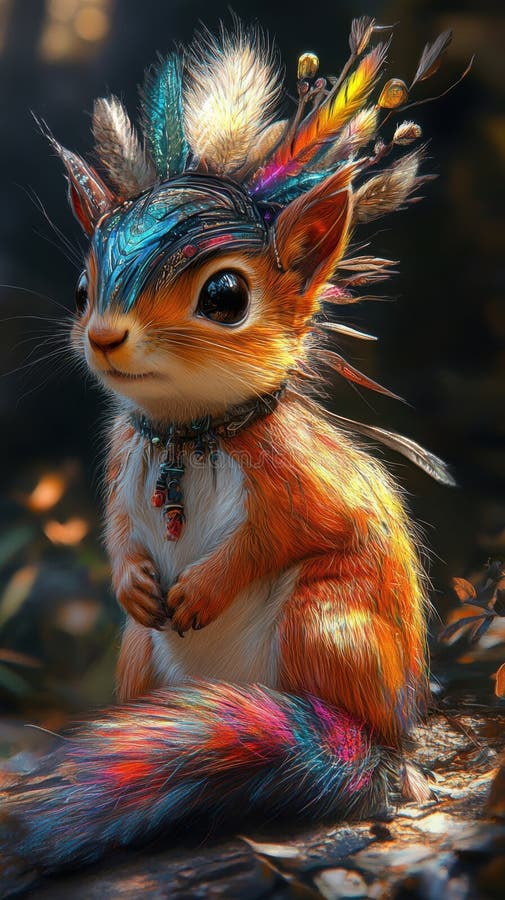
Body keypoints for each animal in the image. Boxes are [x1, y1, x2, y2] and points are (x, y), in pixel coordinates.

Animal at [1, 18, 456, 889]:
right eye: (80, 289)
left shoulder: (302, 480)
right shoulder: (121, 462)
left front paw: (206, 586)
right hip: (139, 659)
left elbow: (278, 537)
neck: (190, 431)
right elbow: (119, 532)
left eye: (224, 297)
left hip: (327, 623)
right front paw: (135, 580)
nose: (102, 337)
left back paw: (379, 762)